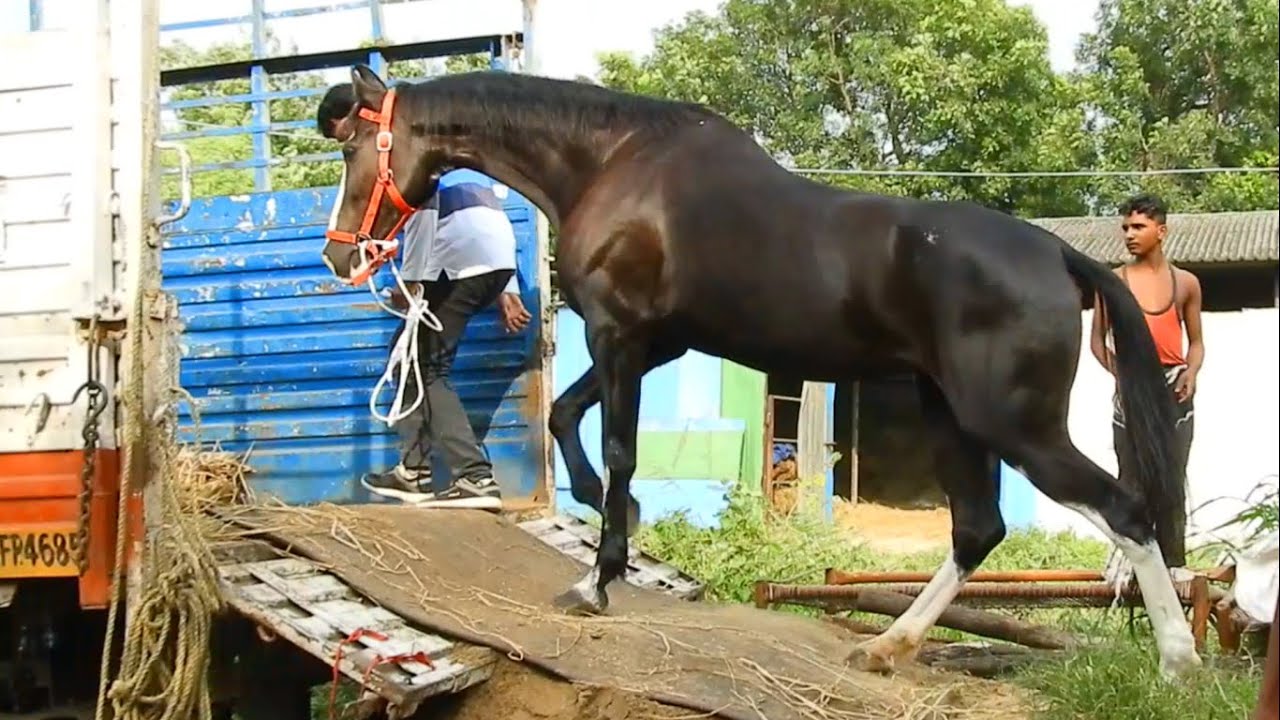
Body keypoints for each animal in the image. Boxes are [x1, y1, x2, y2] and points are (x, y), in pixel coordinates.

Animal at [315, 64, 1203, 679]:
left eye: (355, 145)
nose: (337, 253)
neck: (614, 163)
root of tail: (1057, 254)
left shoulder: (620, 336)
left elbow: (619, 448)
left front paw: (597, 580)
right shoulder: (656, 343)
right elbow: (570, 418)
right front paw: (617, 517)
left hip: (1010, 423)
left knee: (1123, 511)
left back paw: (1179, 663)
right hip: (949, 413)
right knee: (978, 528)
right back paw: (887, 646)